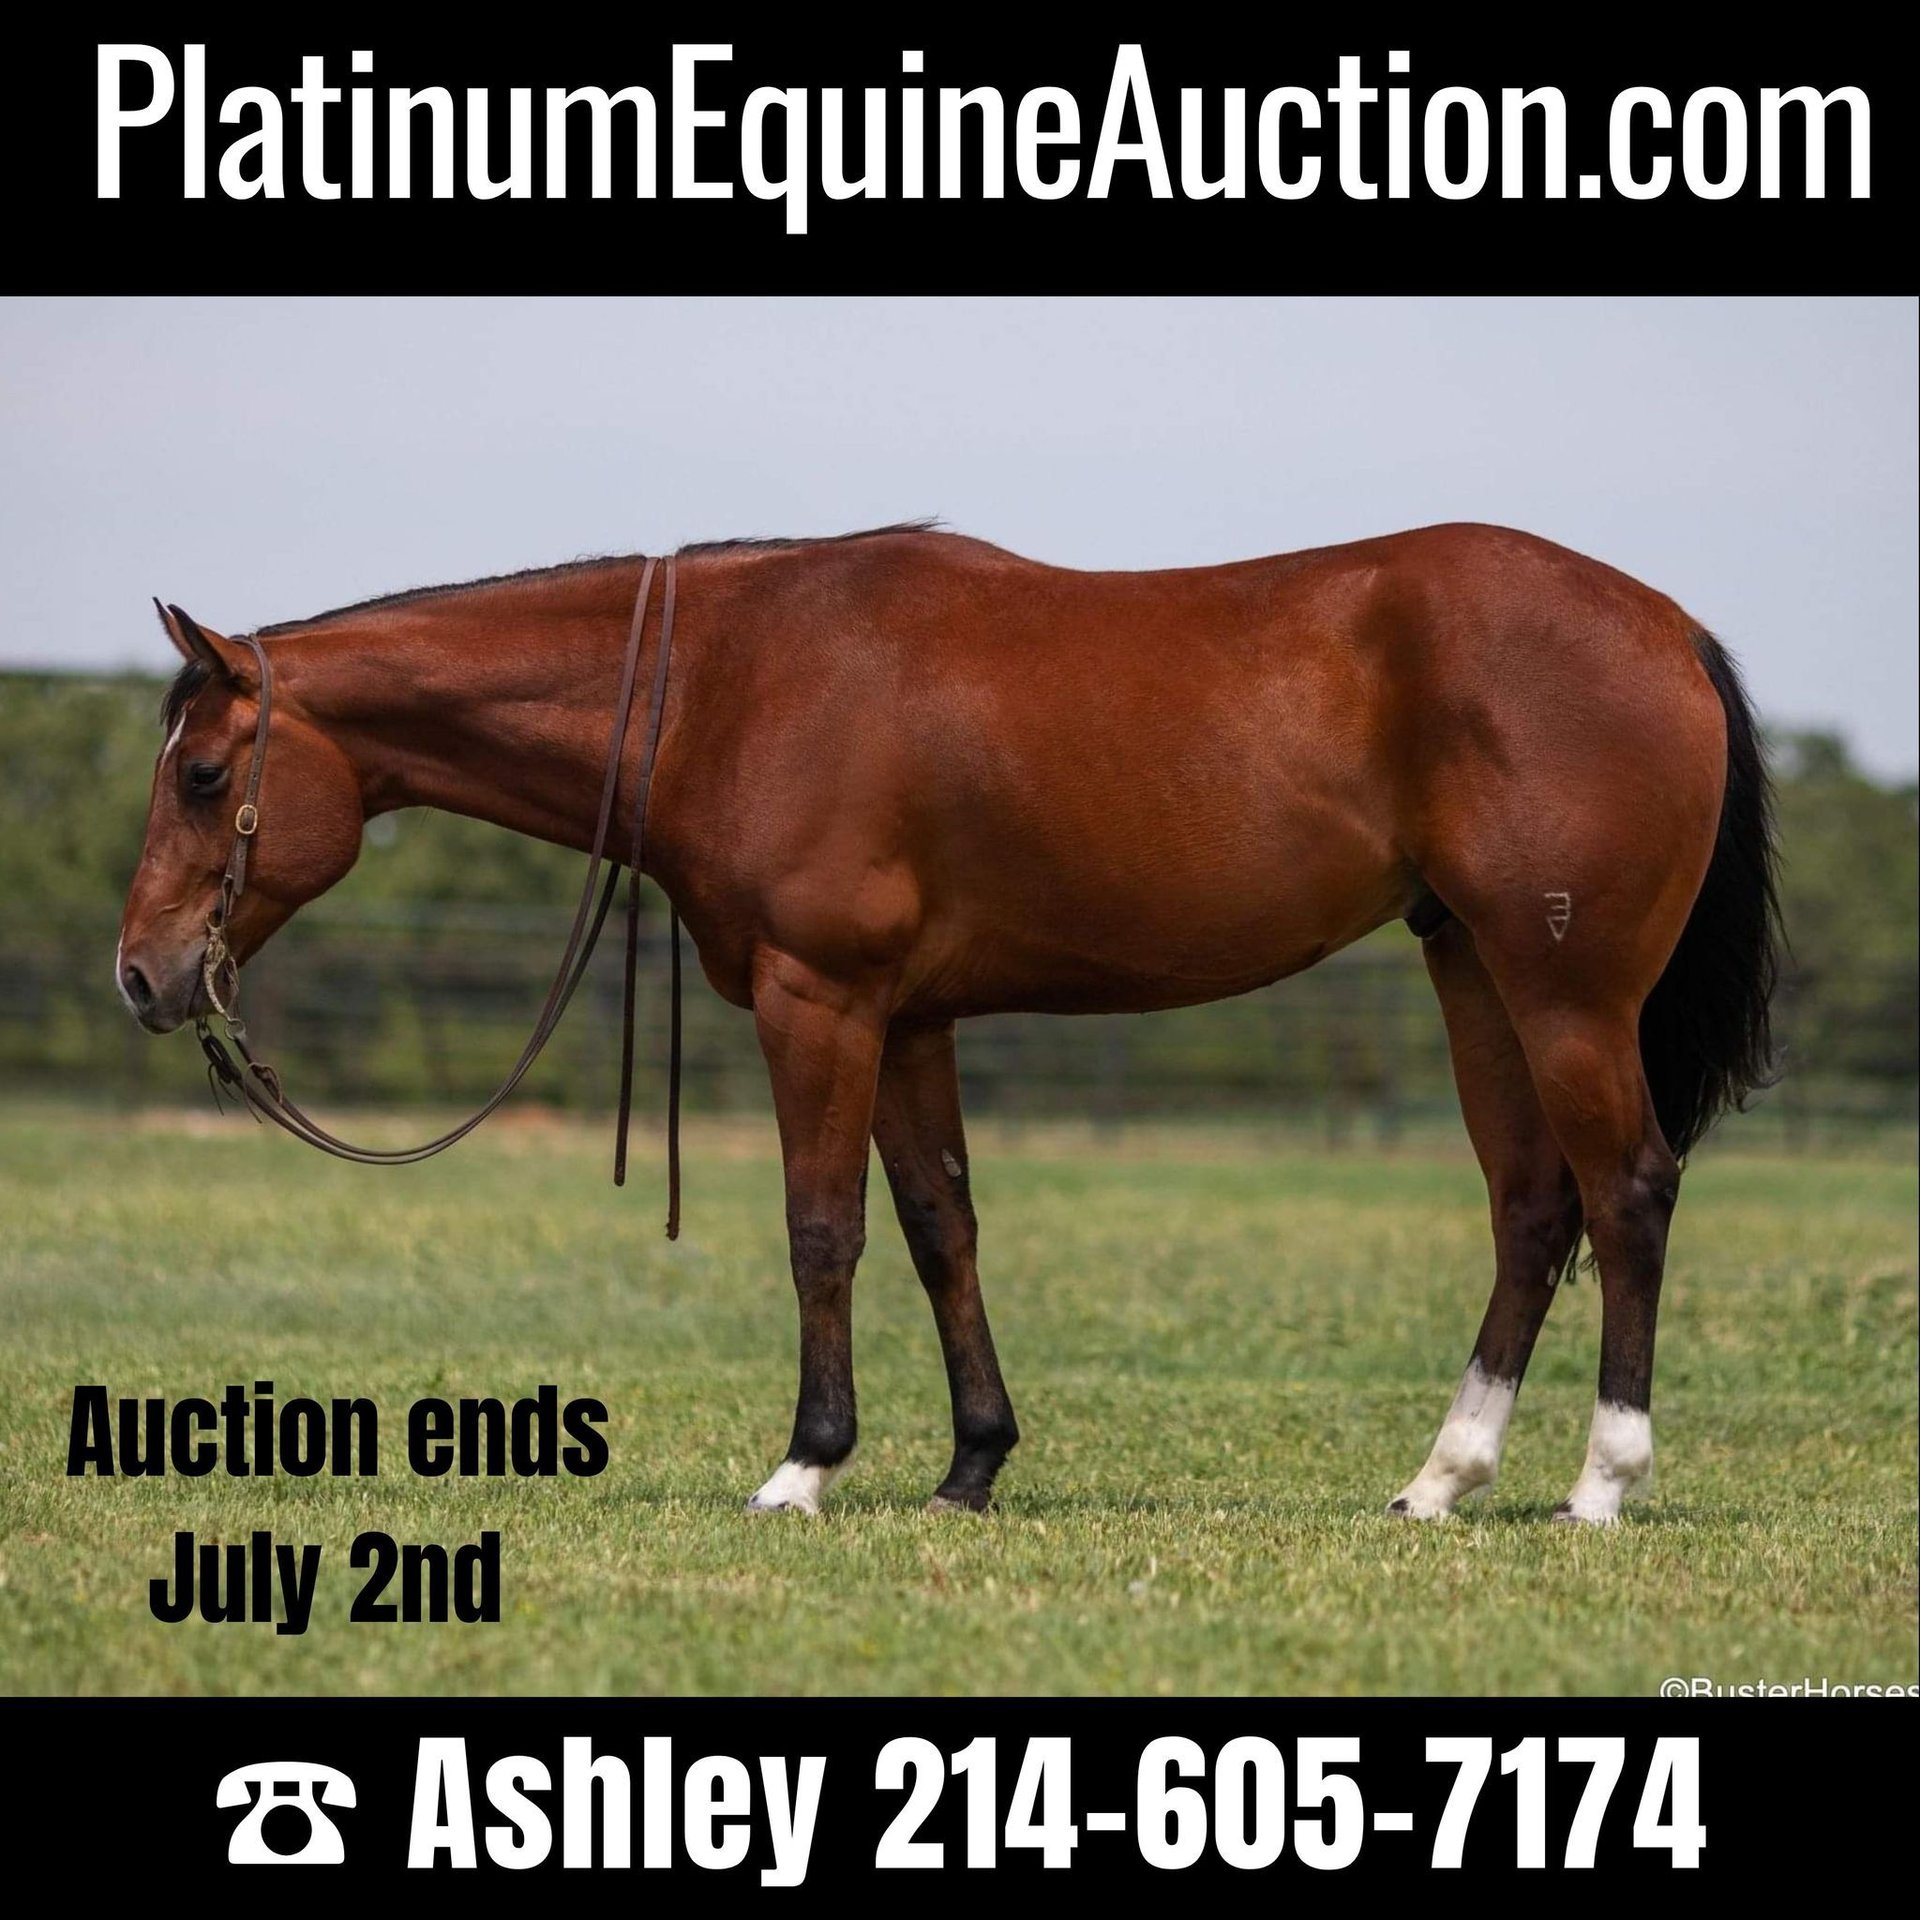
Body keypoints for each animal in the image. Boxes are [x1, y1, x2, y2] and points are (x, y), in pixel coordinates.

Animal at [116, 521, 1779, 1524]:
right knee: (1532, 1209)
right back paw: (1443, 1478)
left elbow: (822, 1230)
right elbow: (938, 1228)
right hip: (1473, 972)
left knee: (1626, 1193)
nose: (142, 974)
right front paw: (972, 1464)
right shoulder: (911, 1020)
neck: (723, 683)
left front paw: (805, 1468)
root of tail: (1668, 626)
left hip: (1566, 991)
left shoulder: (822, 1000)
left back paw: (1602, 1482)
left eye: (202, 774)